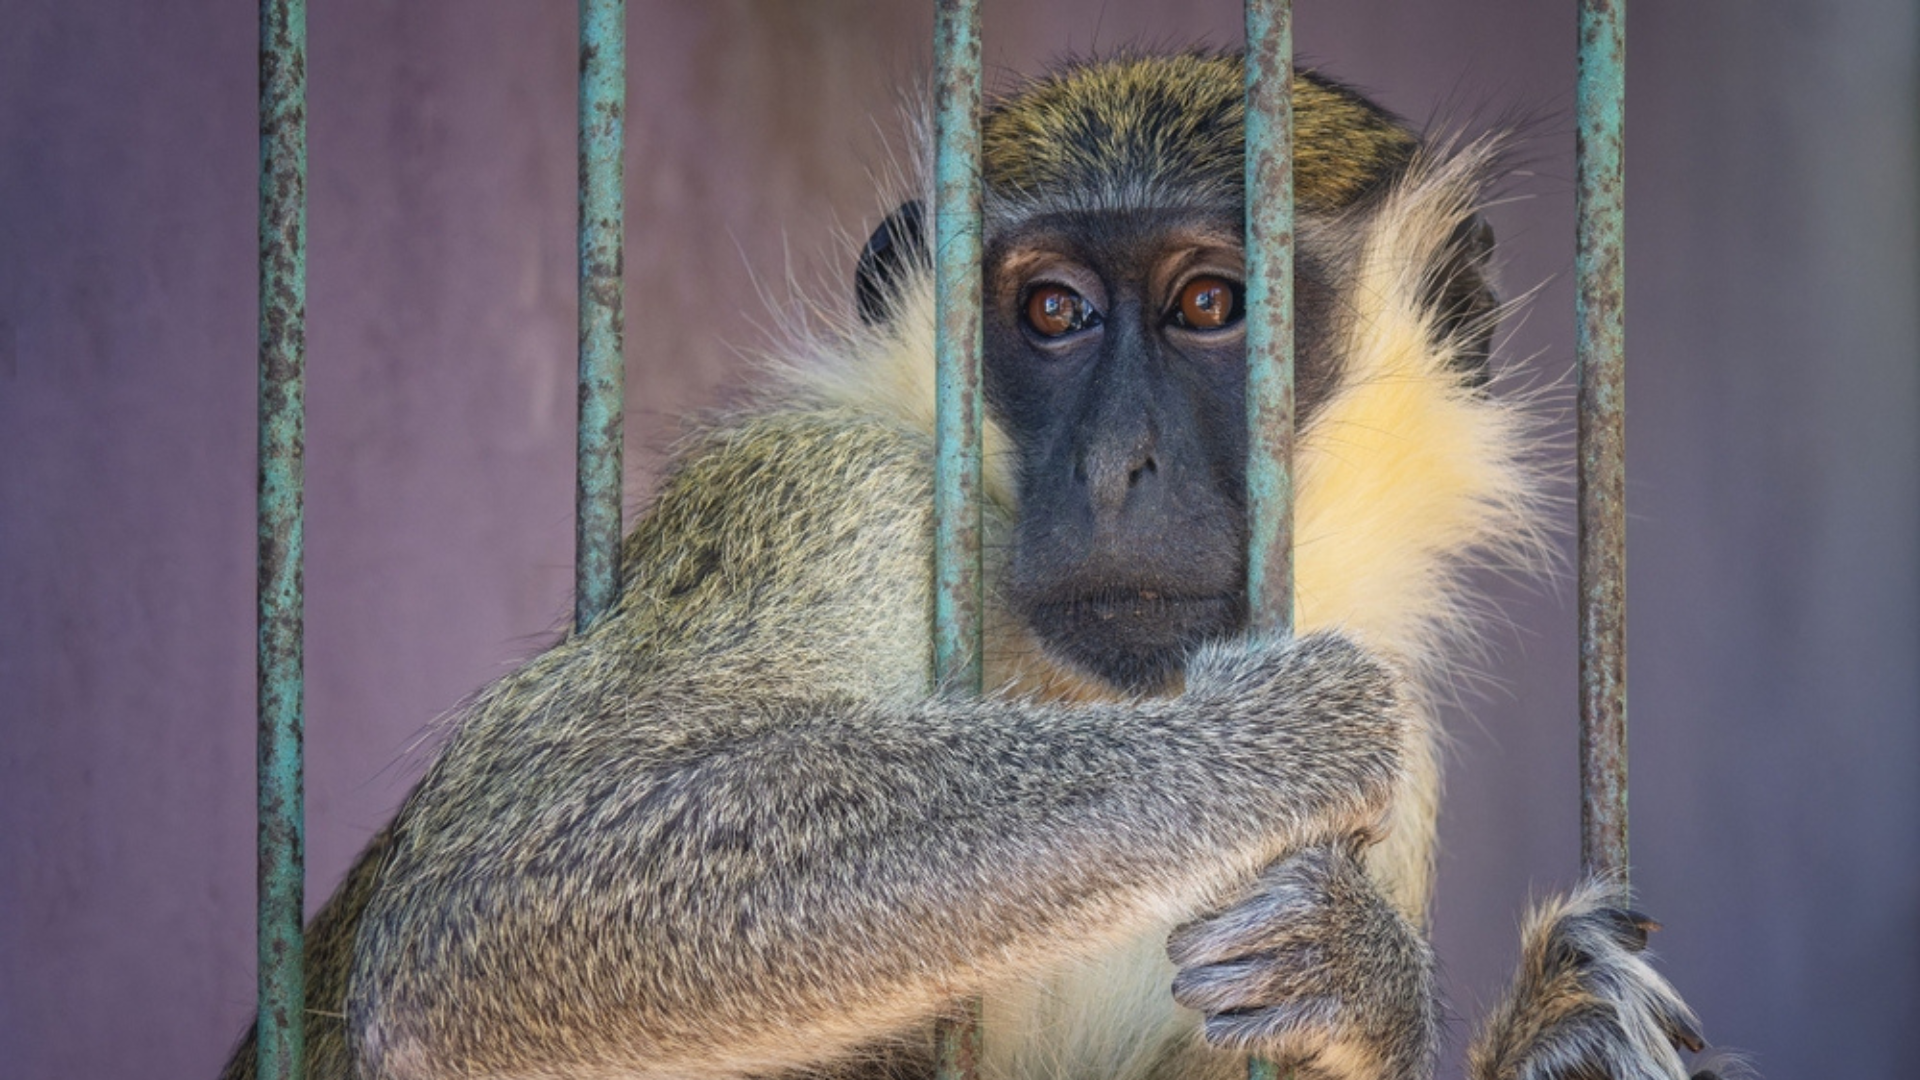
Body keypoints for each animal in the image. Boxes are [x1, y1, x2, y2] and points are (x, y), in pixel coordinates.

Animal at [221, 51, 1714, 1080]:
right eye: (1052, 312)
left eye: (1213, 304)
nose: (1116, 465)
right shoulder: (838, 496)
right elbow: (491, 908)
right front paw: (1253, 751)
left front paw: (1381, 988)